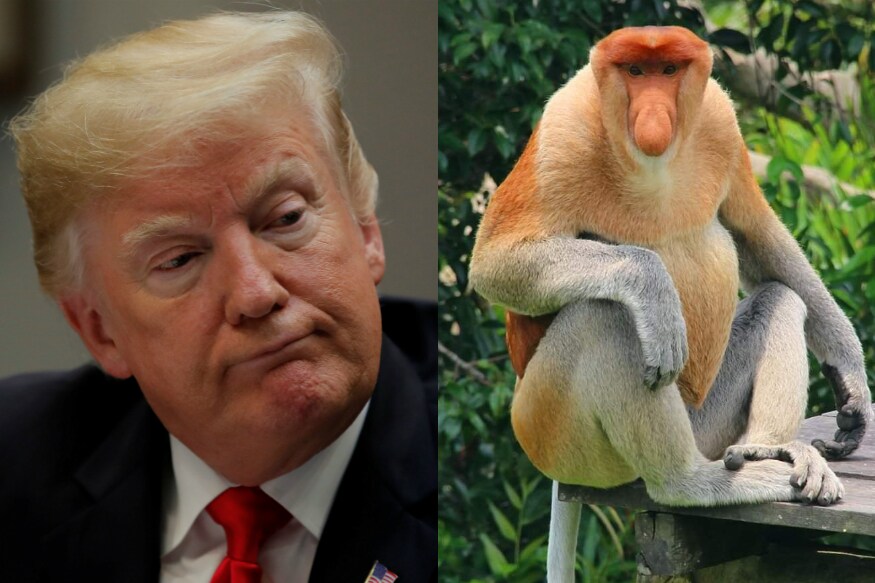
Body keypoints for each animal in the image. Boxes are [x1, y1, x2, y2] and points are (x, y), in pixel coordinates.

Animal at [468, 26, 872, 582]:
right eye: (635, 71)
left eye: (669, 71)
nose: (654, 110)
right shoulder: (563, 132)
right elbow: (495, 262)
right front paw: (652, 287)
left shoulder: (720, 118)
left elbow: (757, 237)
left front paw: (850, 378)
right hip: (553, 432)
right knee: (607, 317)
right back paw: (691, 482)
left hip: (705, 421)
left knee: (780, 298)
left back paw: (770, 450)